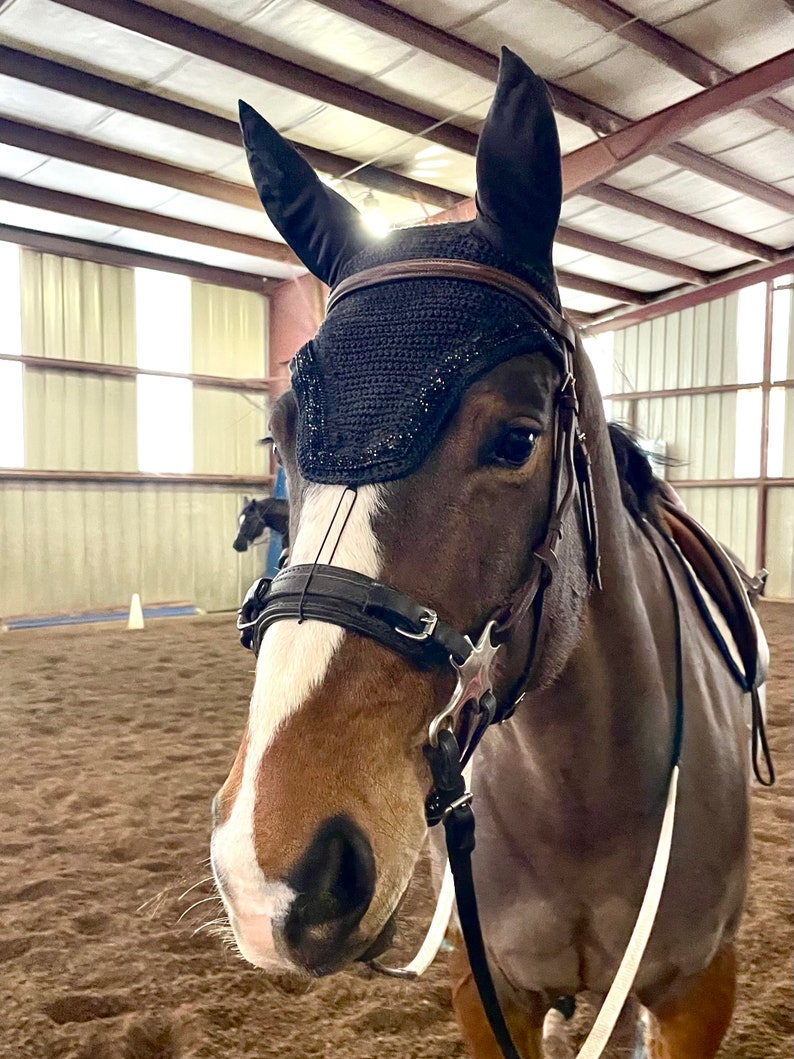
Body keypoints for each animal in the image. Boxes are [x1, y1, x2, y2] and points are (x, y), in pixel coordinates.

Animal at [210, 49, 768, 1058]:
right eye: (283, 434)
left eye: (516, 439)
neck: (581, 789)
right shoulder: (488, 990)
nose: (270, 871)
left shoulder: (700, 990)